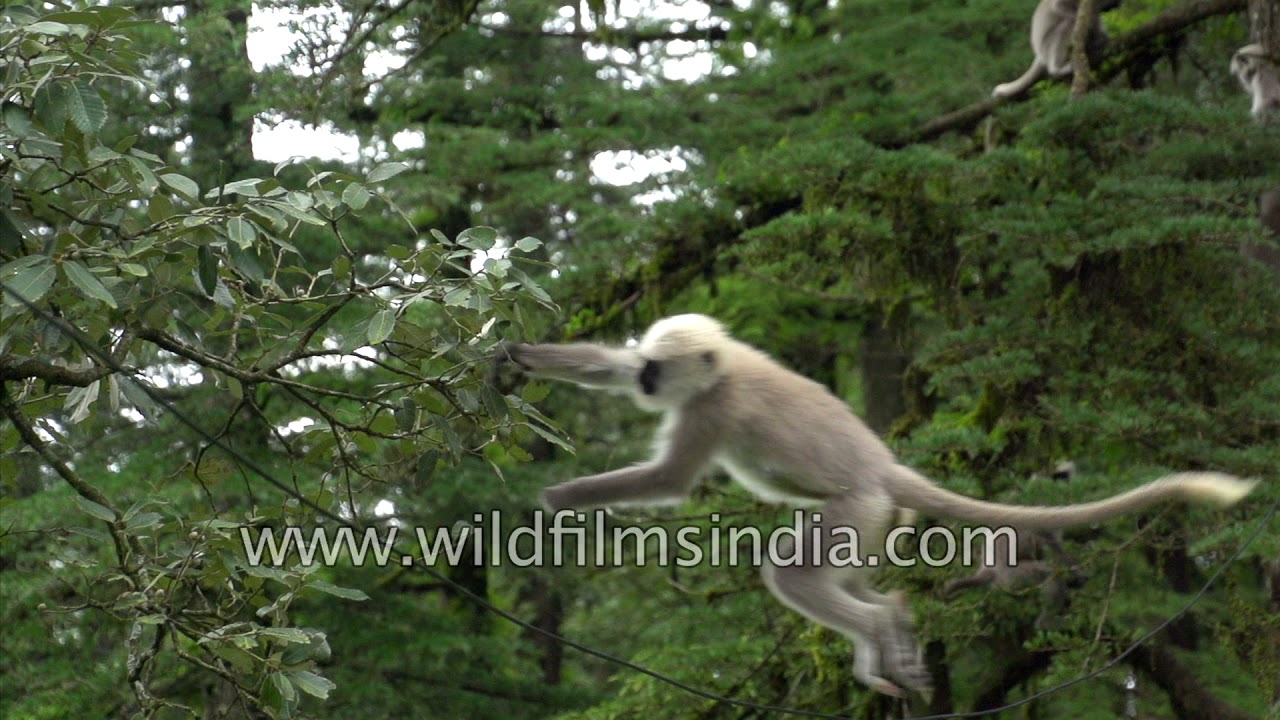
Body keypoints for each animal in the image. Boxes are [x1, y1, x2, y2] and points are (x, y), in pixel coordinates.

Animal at [499, 314, 1255, 698]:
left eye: (660, 371)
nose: (649, 381)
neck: (728, 367)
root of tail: (884, 467)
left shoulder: (713, 409)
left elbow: (671, 480)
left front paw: (556, 499)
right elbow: (606, 368)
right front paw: (517, 354)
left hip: (857, 507)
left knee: (794, 573)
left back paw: (879, 631)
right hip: (877, 521)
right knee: (848, 575)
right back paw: (888, 624)